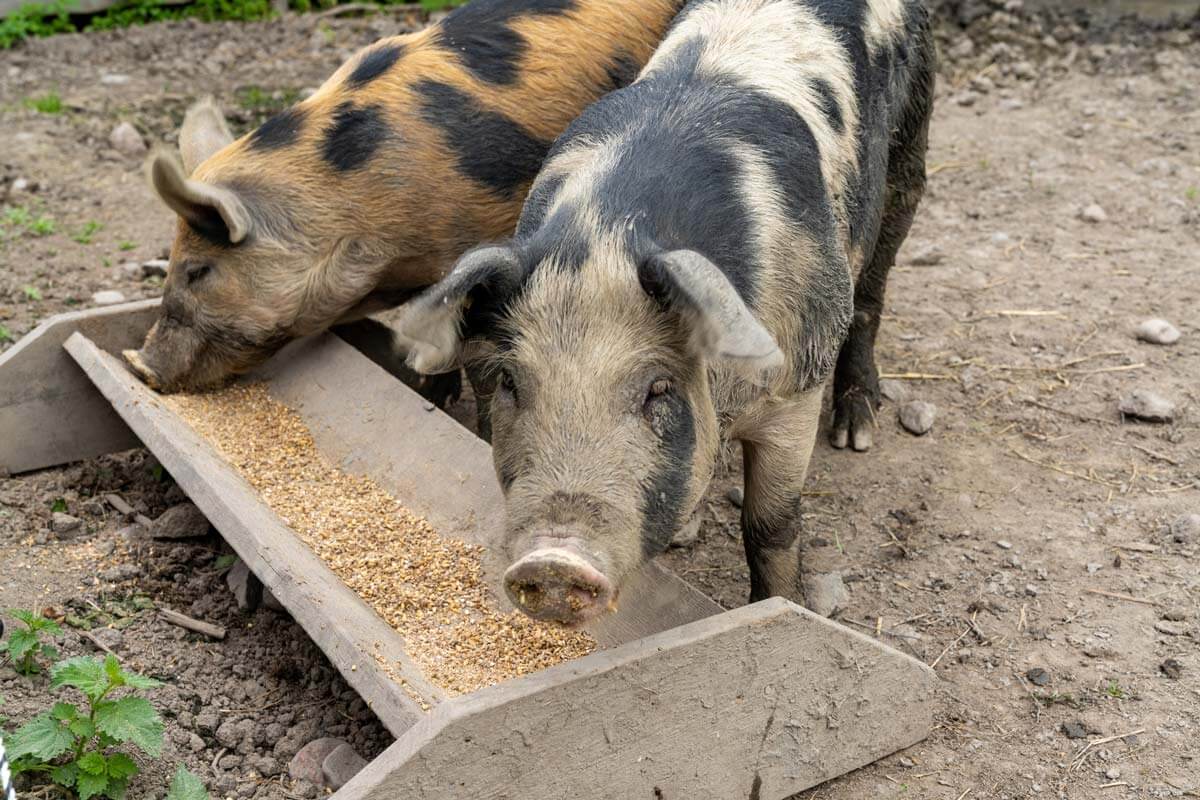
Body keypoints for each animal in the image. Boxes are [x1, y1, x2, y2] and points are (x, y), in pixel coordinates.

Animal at [396, 0, 936, 623]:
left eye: (658, 387)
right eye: (510, 381)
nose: (554, 562)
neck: (607, 234)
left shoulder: (796, 385)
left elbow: (770, 523)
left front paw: (780, 606)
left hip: (909, 152)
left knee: (872, 291)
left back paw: (855, 432)